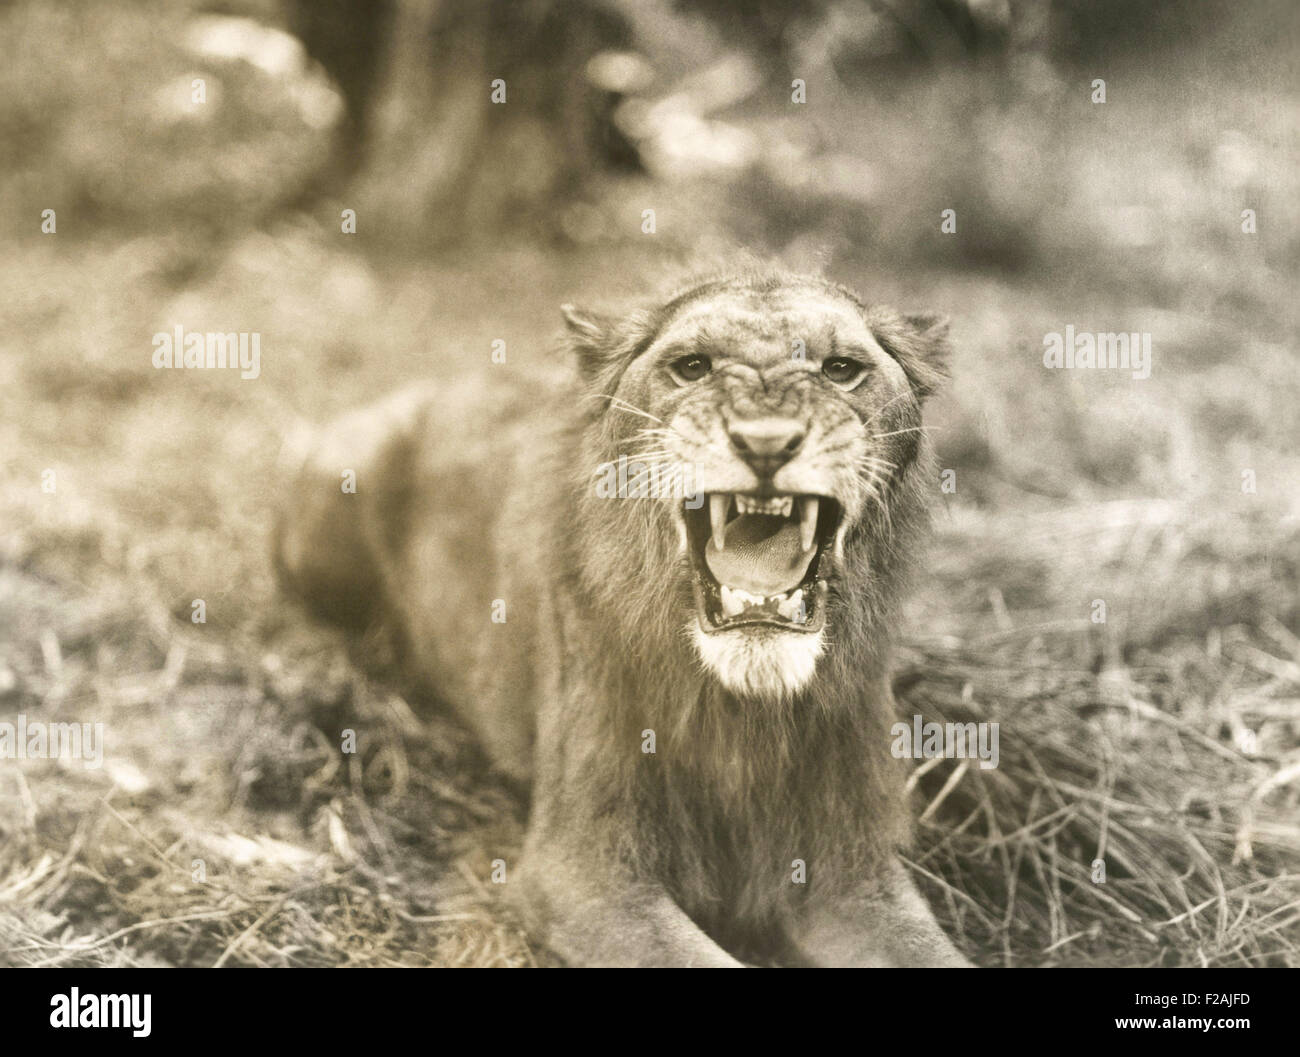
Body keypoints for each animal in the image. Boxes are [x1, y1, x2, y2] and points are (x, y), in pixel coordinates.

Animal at [274, 267, 970, 967]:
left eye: (840, 369)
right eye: (692, 367)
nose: (766, 442)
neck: (738, 705)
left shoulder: (851, 873)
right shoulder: (582, 872)